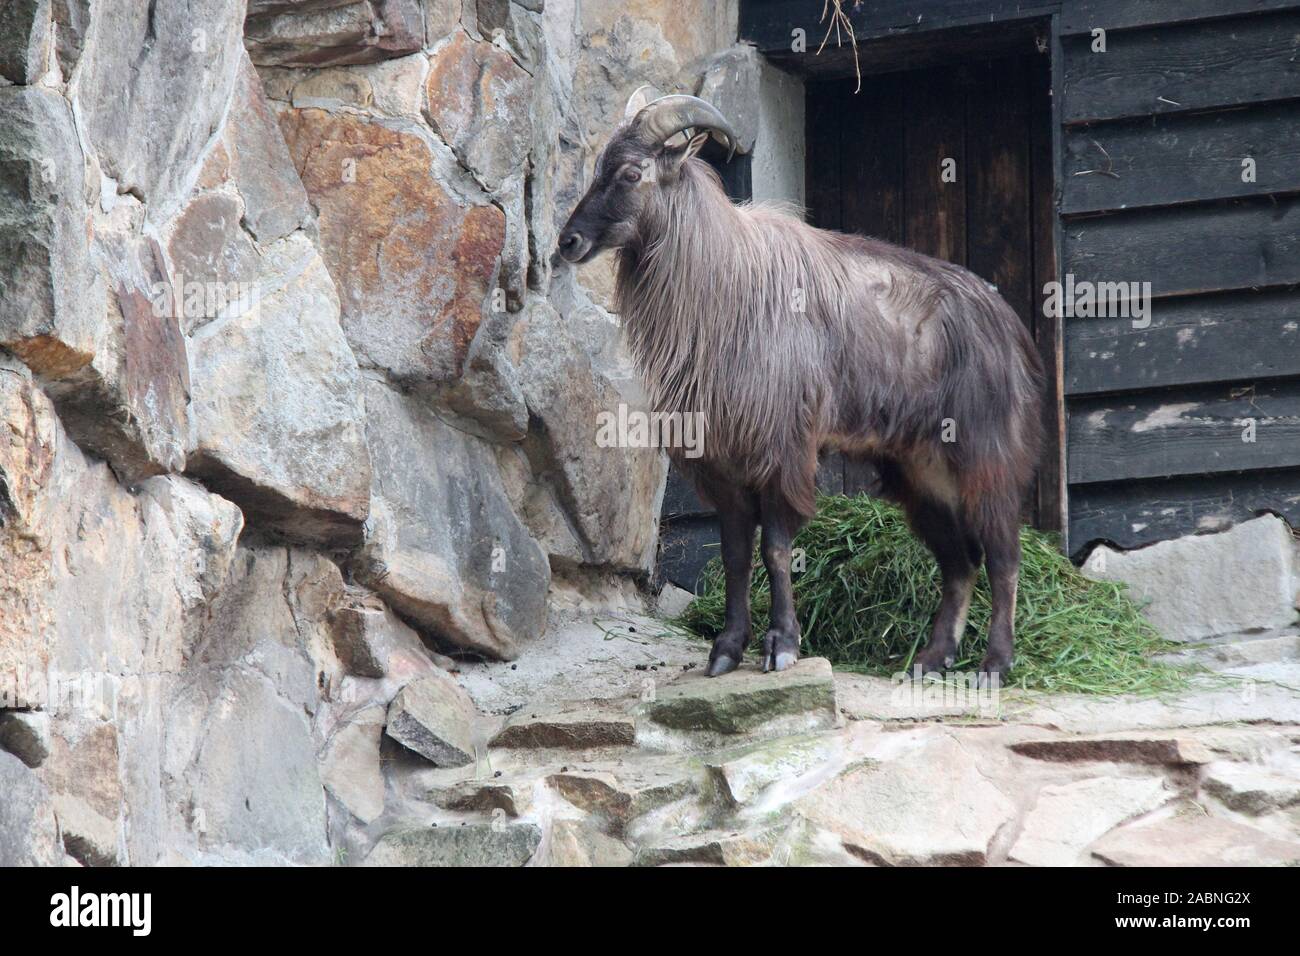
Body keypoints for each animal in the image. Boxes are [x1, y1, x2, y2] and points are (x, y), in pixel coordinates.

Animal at [558, 89, 1044, 681]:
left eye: (632, 172)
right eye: (598, 168)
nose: (568, 241)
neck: (722, 283)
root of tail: (1009, 327)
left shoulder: (781, 453)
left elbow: (776, 548)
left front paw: (782, 645)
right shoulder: (725, 466)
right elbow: (735, 555)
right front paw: (725, 650)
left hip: (984, 456)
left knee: (1003, 554)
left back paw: (994, 662)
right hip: (923, 471)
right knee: (959, 561)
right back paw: (931, 660)